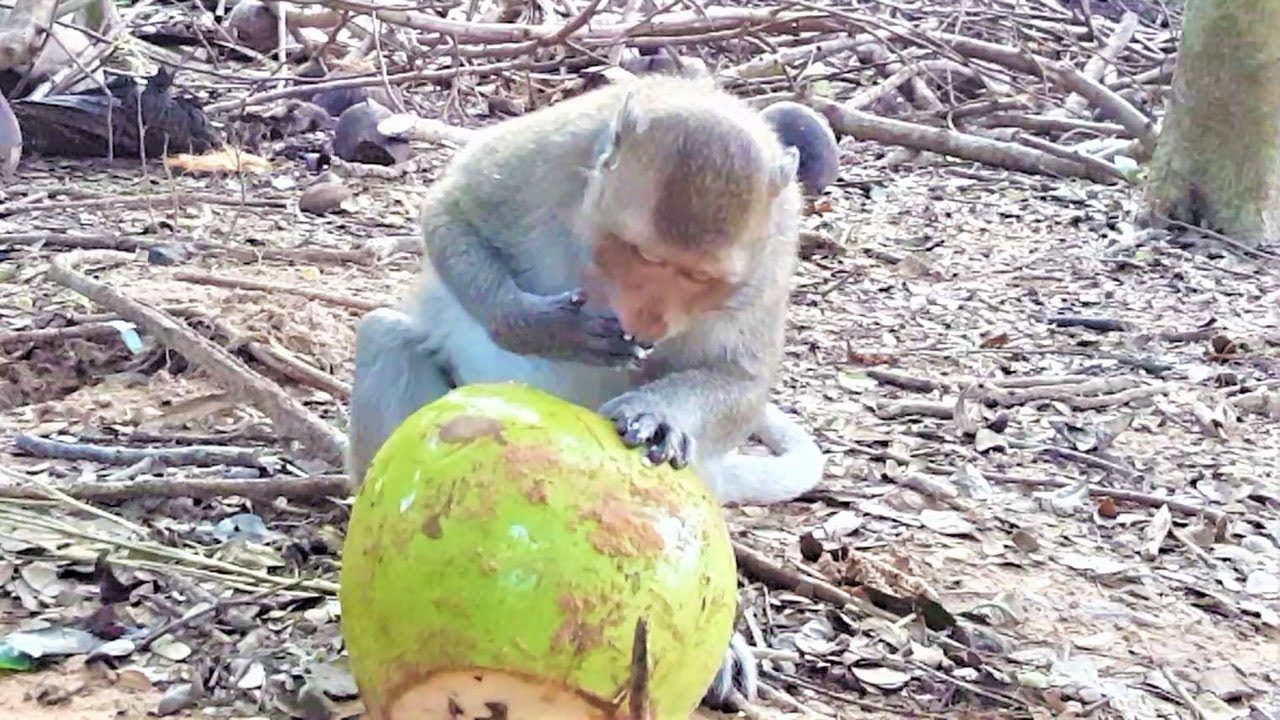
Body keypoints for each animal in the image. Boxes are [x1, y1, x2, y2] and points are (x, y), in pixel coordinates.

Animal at [346, 75, 829, 708]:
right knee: (387, 339)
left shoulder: (773, 256)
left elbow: (741, 381)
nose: (649, 318)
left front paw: (658, 411)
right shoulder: (554, 151)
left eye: (698, 277)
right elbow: (451, 212)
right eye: (643, 254)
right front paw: (539, 327)